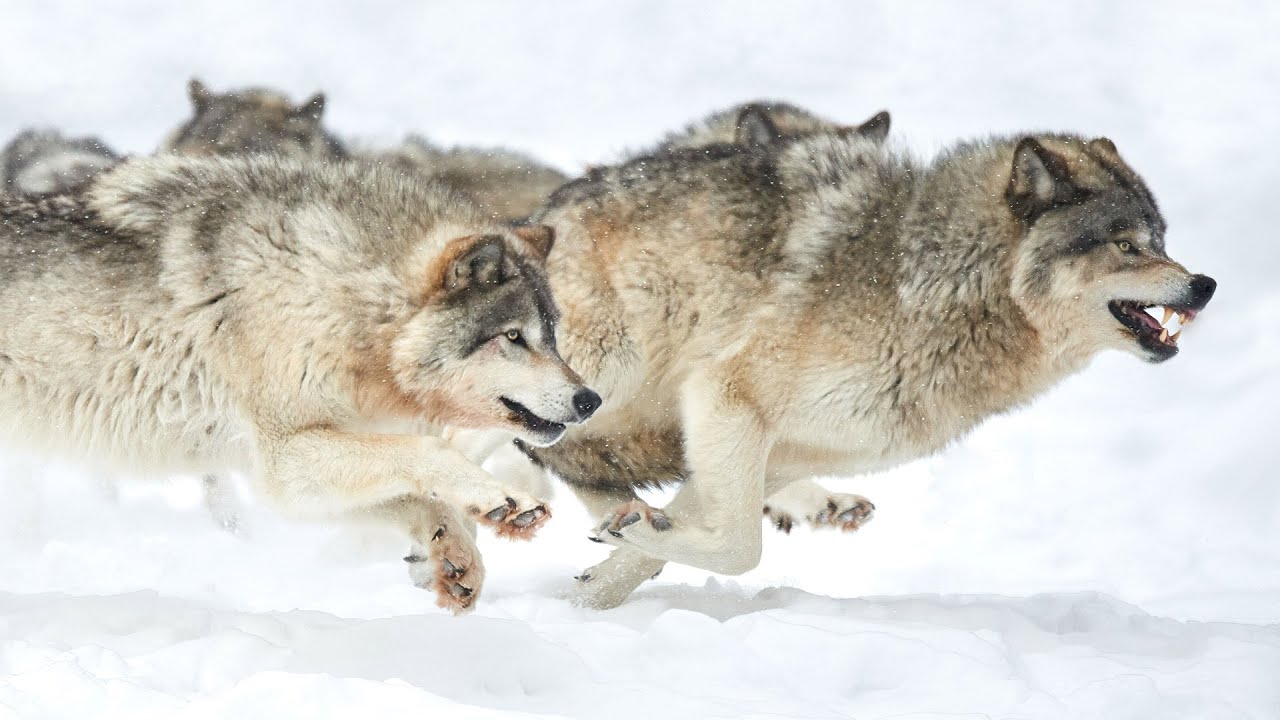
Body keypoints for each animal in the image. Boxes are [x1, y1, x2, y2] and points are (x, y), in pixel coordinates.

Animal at [0, 155, 600, 612]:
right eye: (513, 336)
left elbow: (412, 496)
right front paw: (502, 499)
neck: (334, 294)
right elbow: (428, 453)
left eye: (552, 335)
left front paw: (455, 554)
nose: (590, 399)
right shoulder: (285, 458)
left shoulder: (277, 471)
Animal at [509, 130, 1217, 609]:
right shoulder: (727, 396)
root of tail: (532, 219)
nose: (1204, 285)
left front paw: (588, 596)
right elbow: (741, 549)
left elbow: (679, 541)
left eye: (1161, 239)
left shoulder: (775, 450)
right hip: (597, 377)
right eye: (1126, 245)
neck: (938, 286)